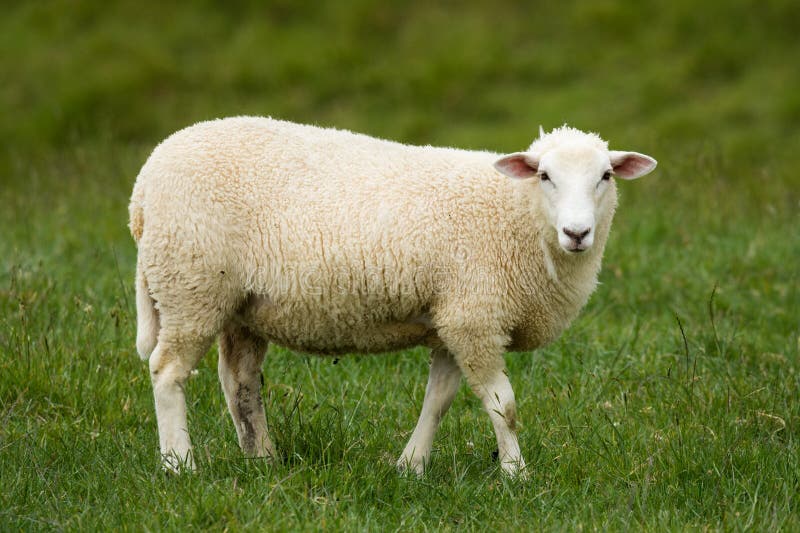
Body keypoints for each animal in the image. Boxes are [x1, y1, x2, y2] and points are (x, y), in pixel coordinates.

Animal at [128, 117, 657, 475]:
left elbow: (439, 399)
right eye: (544, 175)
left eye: (606, 176)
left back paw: (263, 460)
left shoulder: (451, 319)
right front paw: (516, 474)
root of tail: (143, 184)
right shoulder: (474, 317)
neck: (514, 213)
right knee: (167, 371)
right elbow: (503, 404)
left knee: (239, 383)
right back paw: (179, 465)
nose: (577, 233)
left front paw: (411, 466)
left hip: (239, 304)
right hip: (190, 283)